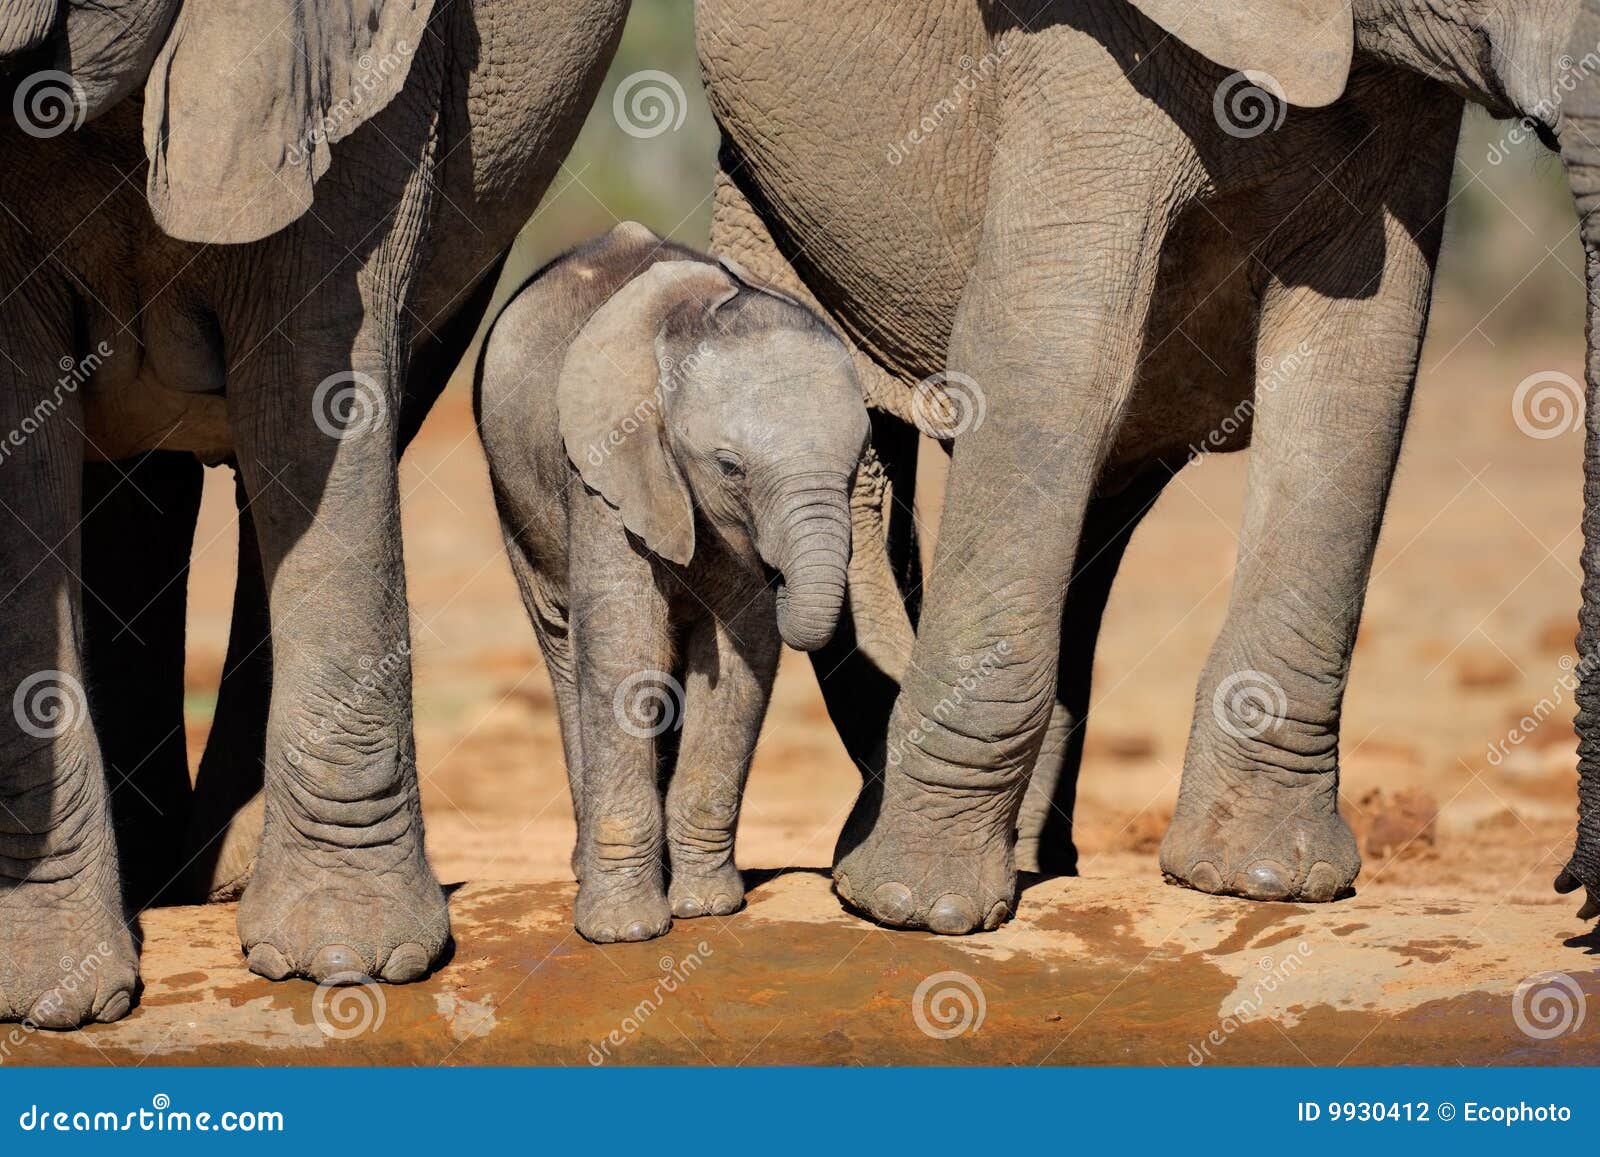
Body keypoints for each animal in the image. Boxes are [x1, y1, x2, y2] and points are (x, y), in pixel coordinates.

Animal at [476, 222, 868, 943]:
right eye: (730, 467)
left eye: (858, 463)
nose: (782, 574)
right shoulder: (603, 465)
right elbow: (627, 646)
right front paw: (625, 932)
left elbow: (743, 649)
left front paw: (707, 909)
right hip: (514, 495)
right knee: (566, 648)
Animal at [695, 0, 1600, 934]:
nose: (1568, 889)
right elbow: (1055, 347)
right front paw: (919, 907)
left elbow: (1357, 363)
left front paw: (1266, 879)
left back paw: (1031, 860)